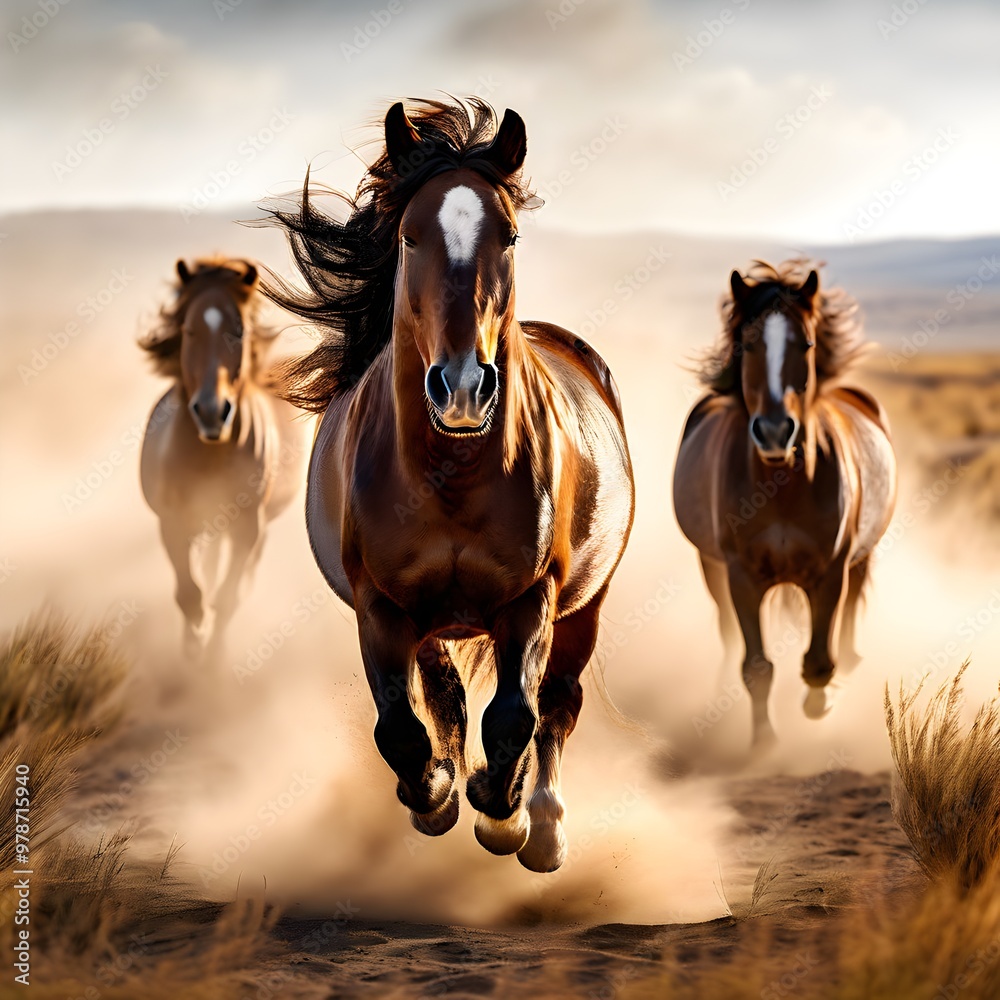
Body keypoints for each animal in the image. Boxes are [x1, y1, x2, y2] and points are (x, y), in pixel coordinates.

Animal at [140, 257, 310, 657]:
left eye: (239, 331)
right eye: (189, 331)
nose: (211, 411)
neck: (210, 455)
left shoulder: (248, 527)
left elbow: (227, 598)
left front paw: (213, 663)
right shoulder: (173, 522)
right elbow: (190, 596)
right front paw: (192, 650)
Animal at [263, 98, 634, 872]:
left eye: (510, 235)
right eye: (408, 236)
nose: (463, 387)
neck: (452, 473)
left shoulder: (532, 598)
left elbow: (515, 716)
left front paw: (503, 812)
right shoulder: (379, 604)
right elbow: (403, 727)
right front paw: (434, 793)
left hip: (586, 603)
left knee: (557, 705)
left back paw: (543, 828)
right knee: (445, 694)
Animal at [673, 260, 896, 749]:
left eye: (806, 344)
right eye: (748, 344)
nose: (775, 431)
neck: (780, 487)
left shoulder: (832, 570)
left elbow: (819, 661)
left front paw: (821, 703)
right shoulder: (740, 575)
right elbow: (756, 666)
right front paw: (764, 744)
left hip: (863, 558)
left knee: (847, 629)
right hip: (710, 566)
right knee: (727, 634)